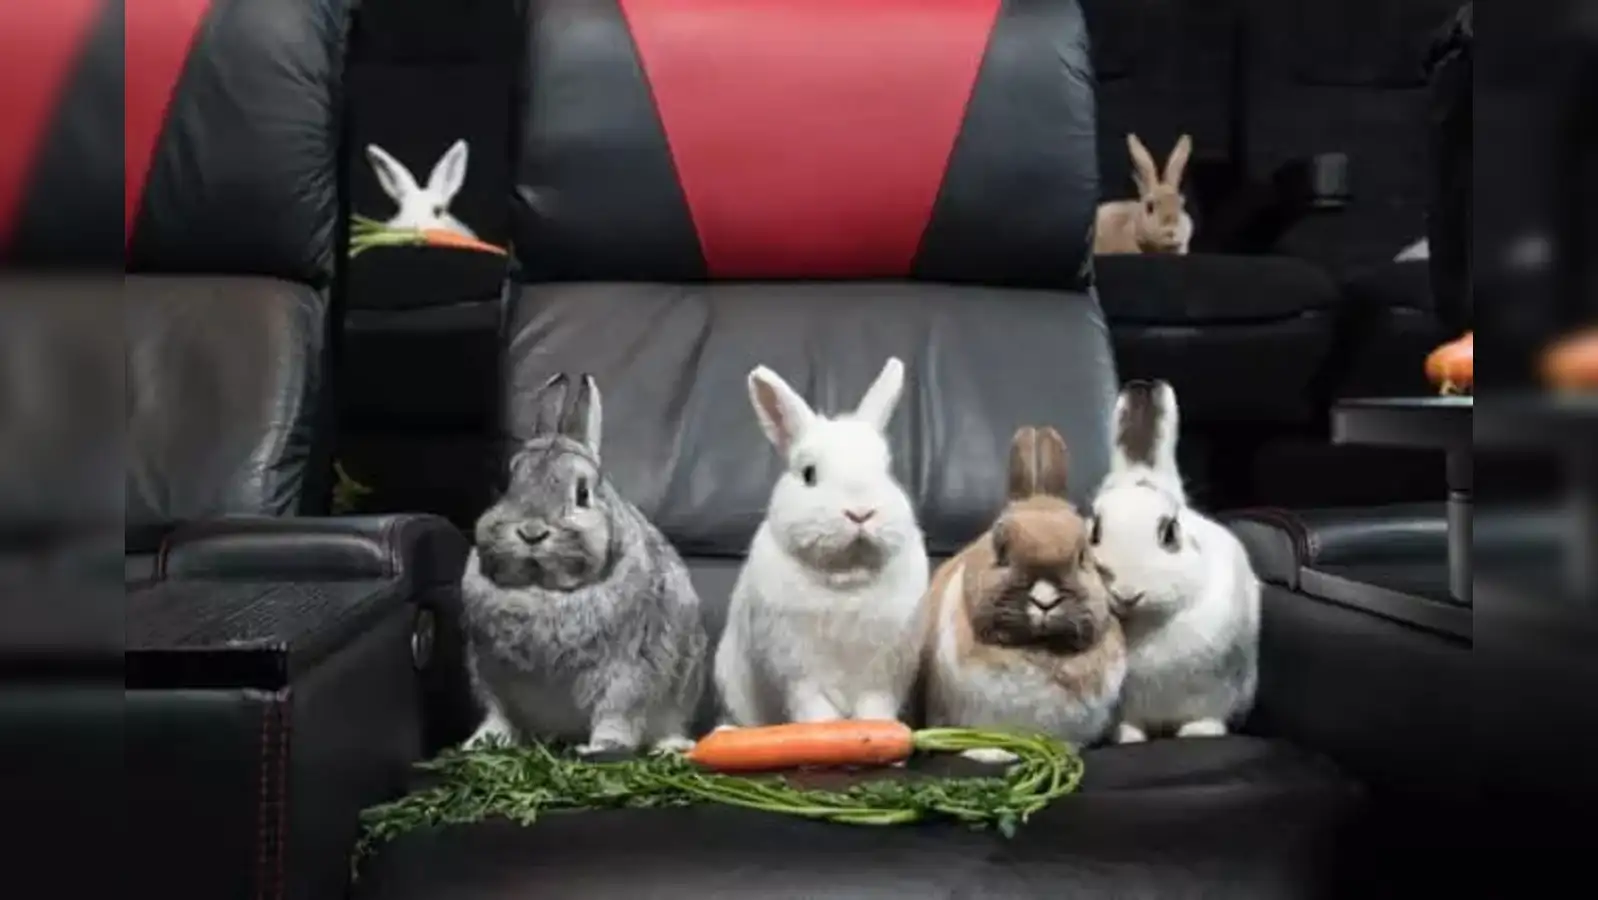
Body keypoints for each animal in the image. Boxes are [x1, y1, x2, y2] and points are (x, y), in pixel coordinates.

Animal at [460, 373, 708, 755]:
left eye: (582, 494)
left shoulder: (630, 675)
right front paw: (480, 742)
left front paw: (602, 747)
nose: (531, 532)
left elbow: (616, 715)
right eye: (507, 486)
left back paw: (669, 747)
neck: (542, 589)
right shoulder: (487, 675)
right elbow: (497, 715)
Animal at [713, 357, 931, 727]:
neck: (846, 581)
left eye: (887, 471)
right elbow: (818, 716)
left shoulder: (883, 680)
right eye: (809, 474)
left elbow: (875, 712)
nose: (860, 512)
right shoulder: (800, 679)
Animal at [1086, 379, 1260, 743]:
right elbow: (1129, 725)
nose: (1126, 594)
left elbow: (1207, 717)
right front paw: (1129, 738)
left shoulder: (1217, 692)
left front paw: (1200, 733)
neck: (1145, 623)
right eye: (1094, 531)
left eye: (1169, 533)